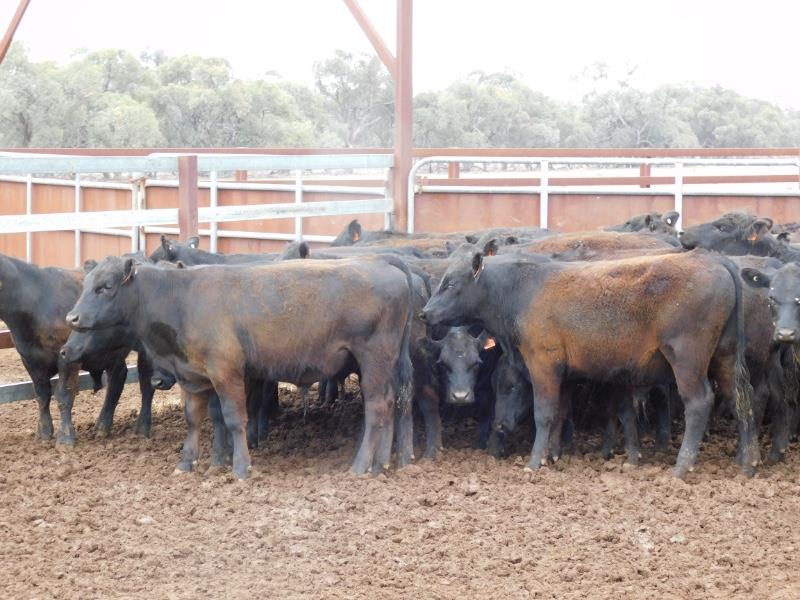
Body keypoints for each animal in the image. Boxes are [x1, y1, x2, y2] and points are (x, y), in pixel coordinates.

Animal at [66, 256, 415, 479]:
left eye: (106, 286)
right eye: (86, 284)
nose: (72, 317)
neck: (180, 299)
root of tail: (385, 264)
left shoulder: (226, 372)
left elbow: (234, 420)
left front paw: (240, 468)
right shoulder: (194, 377)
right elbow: (193, 419)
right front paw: (186, 463)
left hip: (374, 357)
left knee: (376, 407)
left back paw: (360, 466)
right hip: (386, 363)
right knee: (390, 404)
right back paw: (381, 464)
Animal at [420, 249, 758, 478]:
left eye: (450, 284)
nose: (425, 313)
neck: (521, 289)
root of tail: (714, 260)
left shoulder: (543, 363)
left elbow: (544, 413)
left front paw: (534, 461)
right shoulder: (565, 373)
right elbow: (560, 413)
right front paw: (553, 455)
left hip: (687, 360)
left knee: (699, 403)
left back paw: (681, 467)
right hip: (726, 357)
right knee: (741, 400)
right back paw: (748, 463)